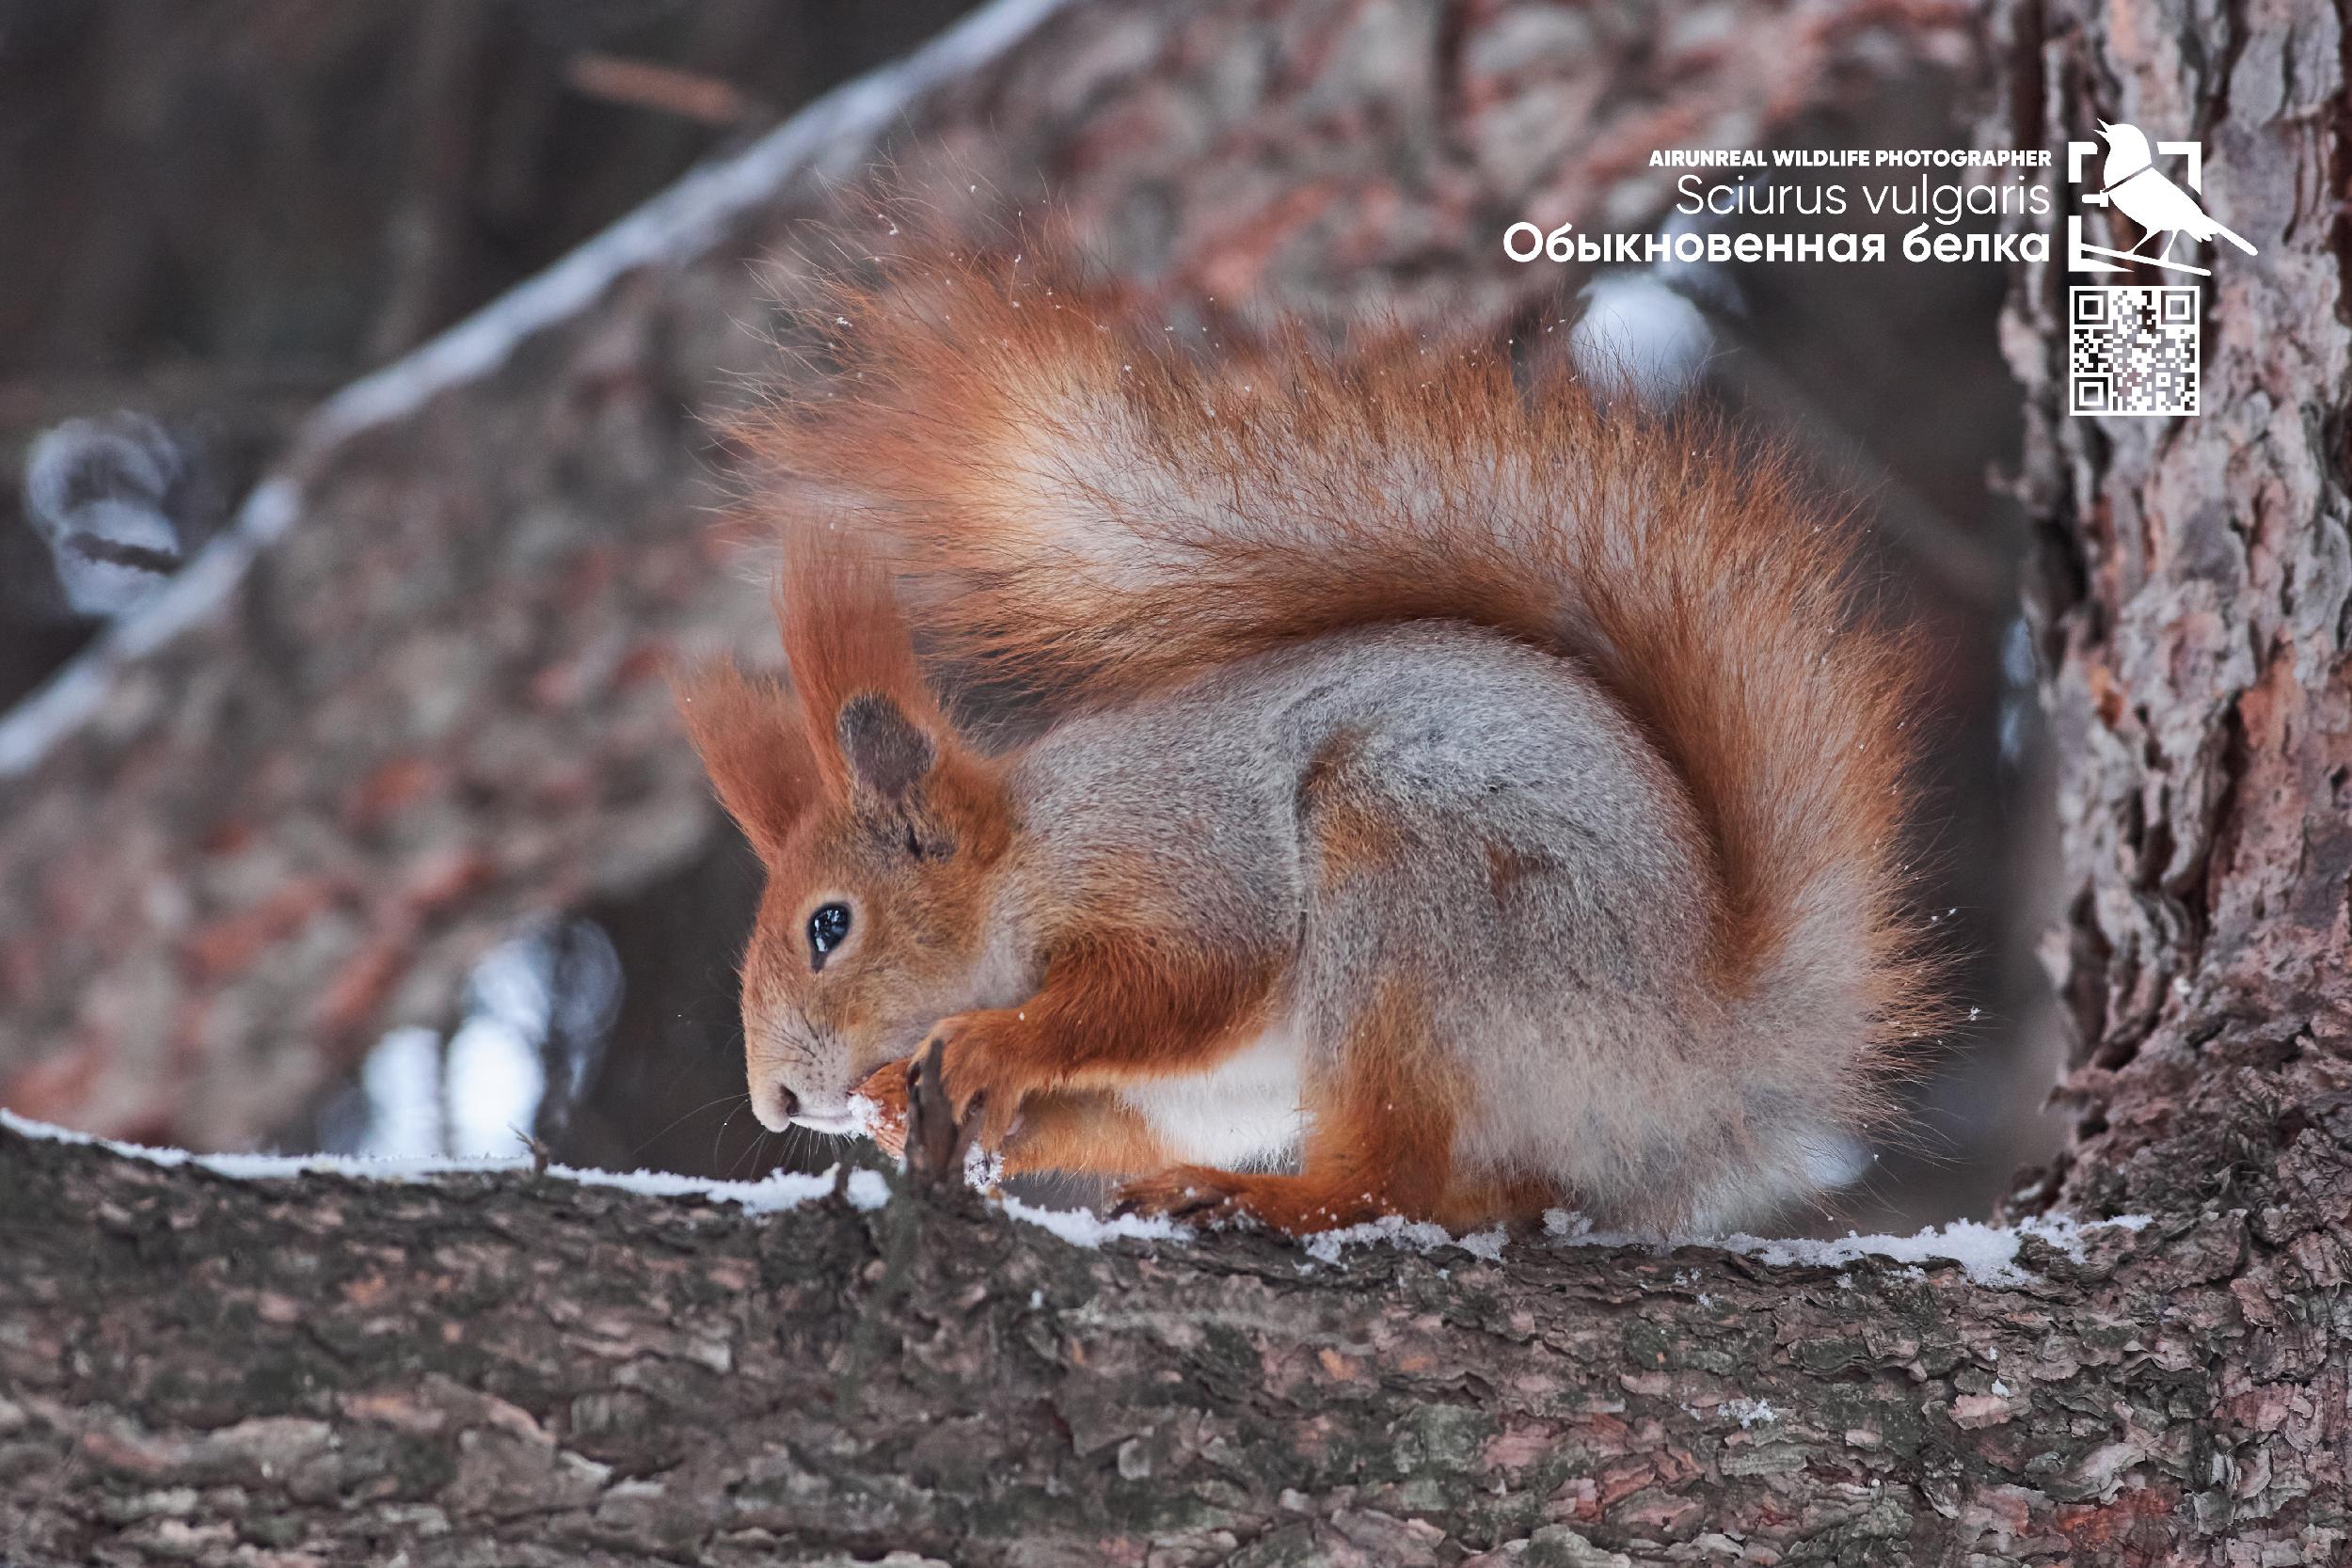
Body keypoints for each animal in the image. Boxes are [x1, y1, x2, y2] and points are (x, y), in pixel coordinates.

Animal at [682, 245, 1929, 1241]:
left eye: (830, 925)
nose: (774, 1101)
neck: (1023, 858)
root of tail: (1713, 1061)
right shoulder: (1178, 1091)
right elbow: (1115, 1113)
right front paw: (905, 1106)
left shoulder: (1172, 852)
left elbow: (1187, 980)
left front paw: (990, 1044)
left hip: (1425, 887)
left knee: (1386, 1181)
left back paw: (1260, 1196)